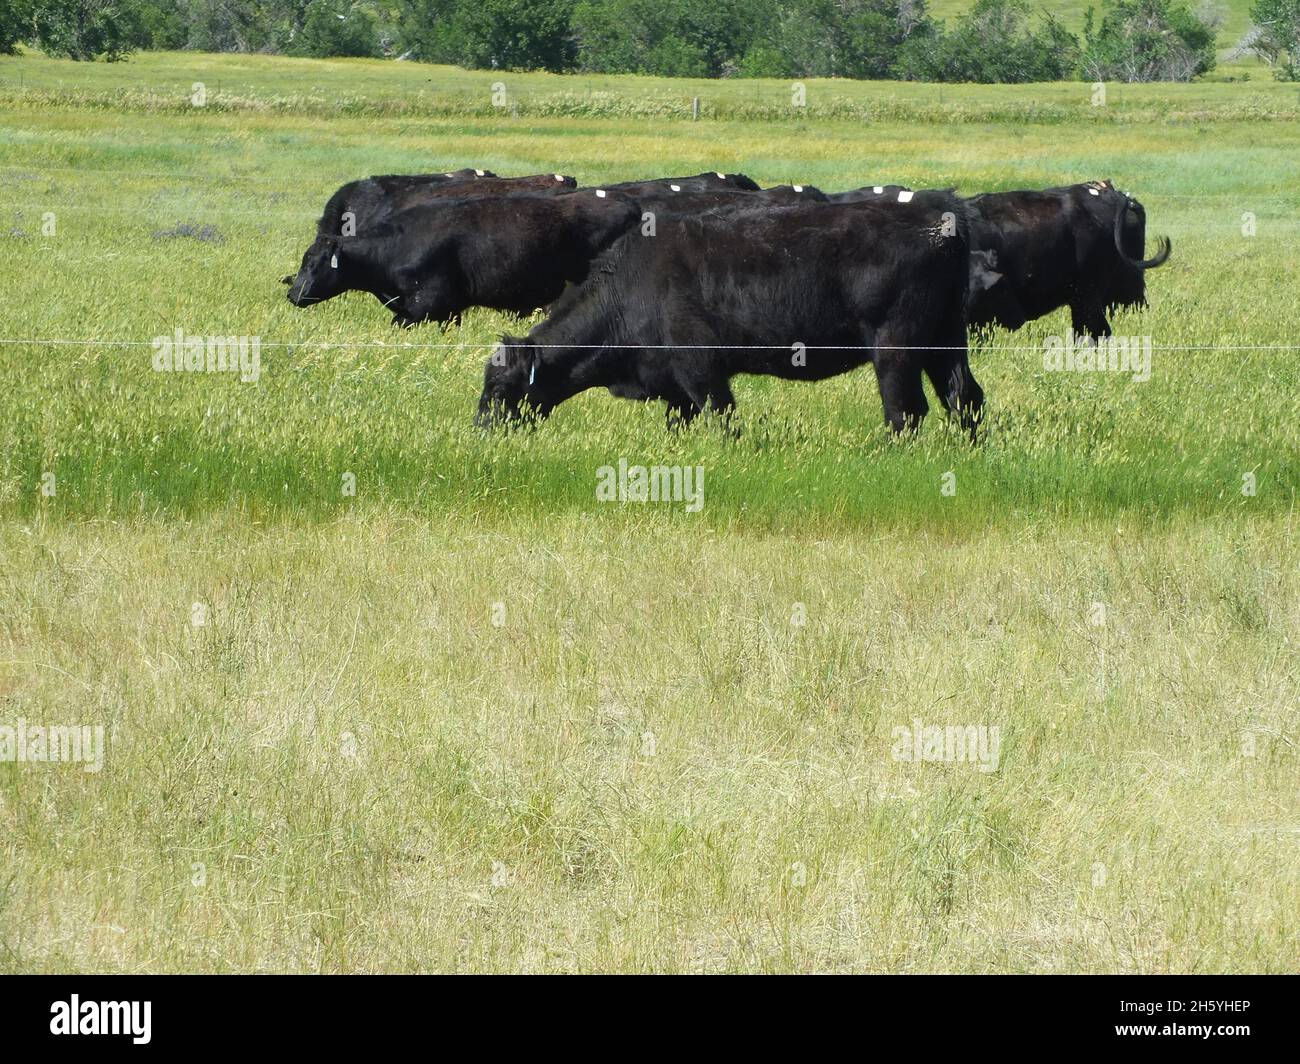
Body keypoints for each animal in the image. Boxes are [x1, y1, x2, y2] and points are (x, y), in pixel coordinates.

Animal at [478, 192, 1002, 440]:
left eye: (499, 389)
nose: (482, 432)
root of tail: (938, 212)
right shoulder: (675, 387)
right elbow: (680, 423)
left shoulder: (701, 369)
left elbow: (723, 417)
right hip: (945, 341)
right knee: (965, 398)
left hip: (895, 349)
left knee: (905, 411)